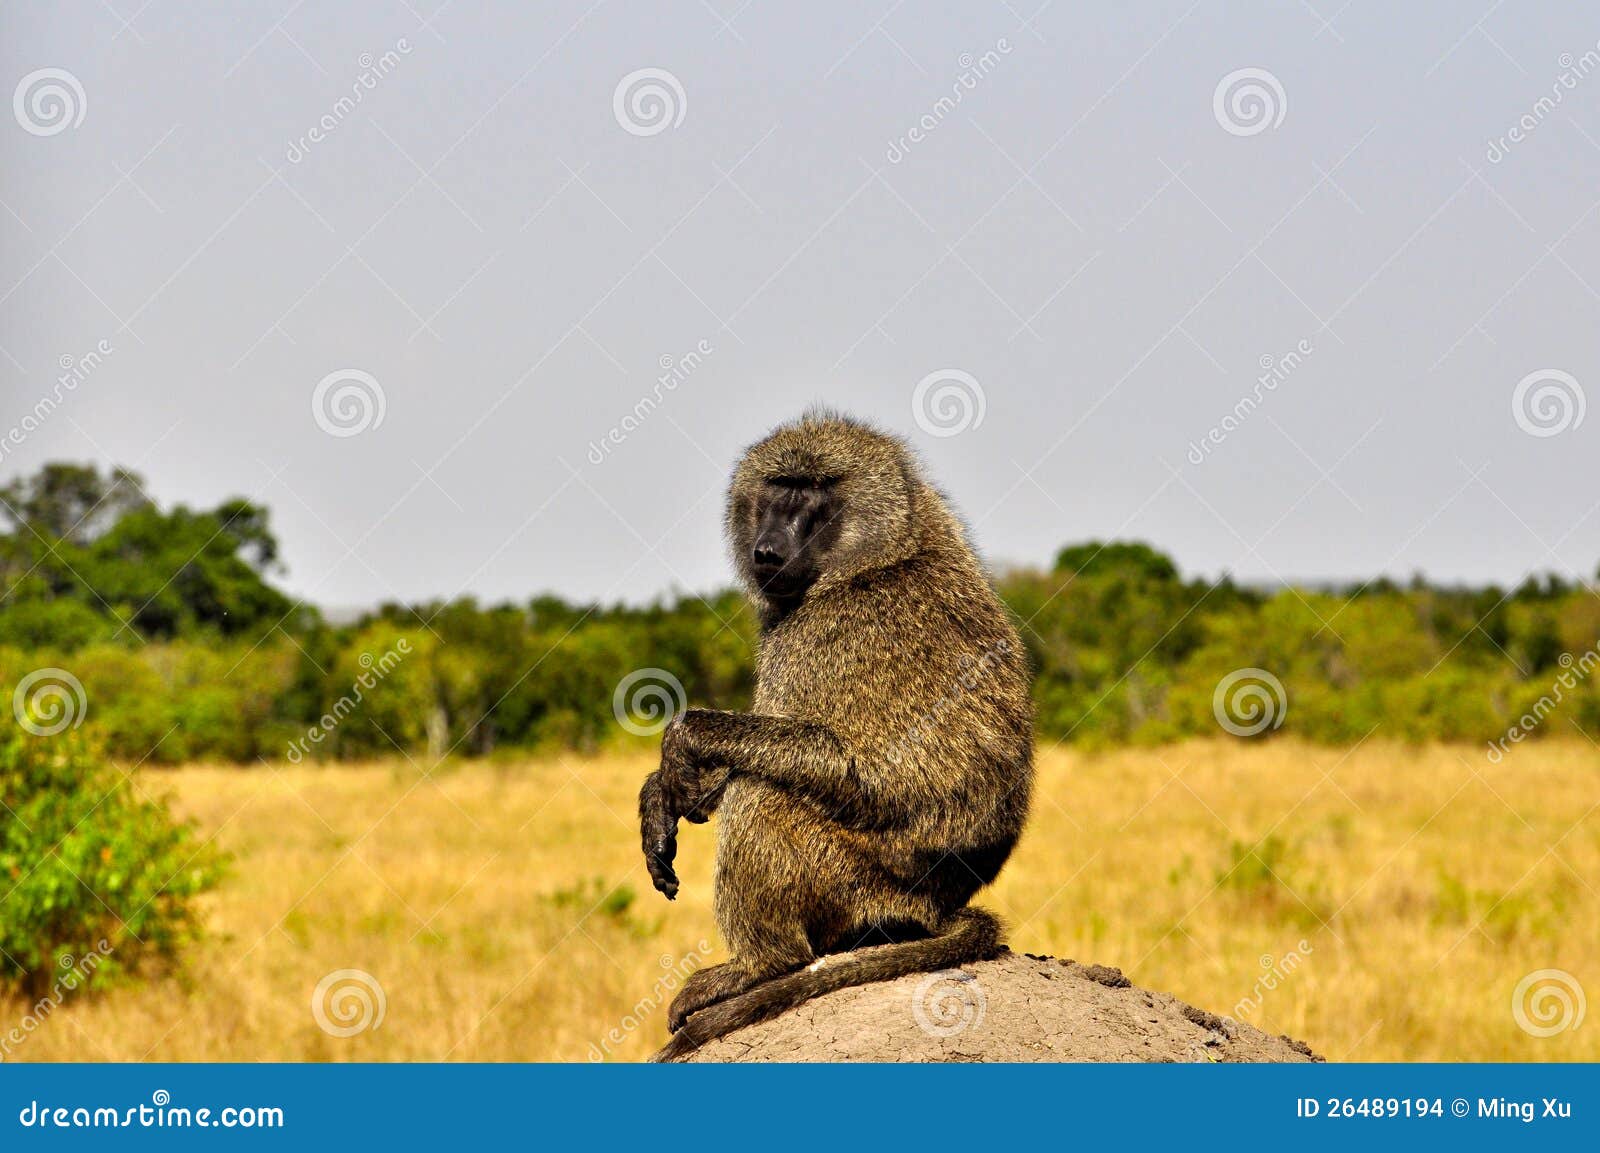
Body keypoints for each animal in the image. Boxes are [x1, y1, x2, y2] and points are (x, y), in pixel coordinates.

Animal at [637, 409, 1034, 1062]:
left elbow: (855, 766)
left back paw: (762, 965)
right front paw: (664, 793)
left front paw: (681, 742)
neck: (892, 547)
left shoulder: (830, 634)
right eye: (778, 490)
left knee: (764, 795)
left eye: (814, 497)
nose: (767, 550)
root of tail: (942, 904)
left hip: (860, 888)